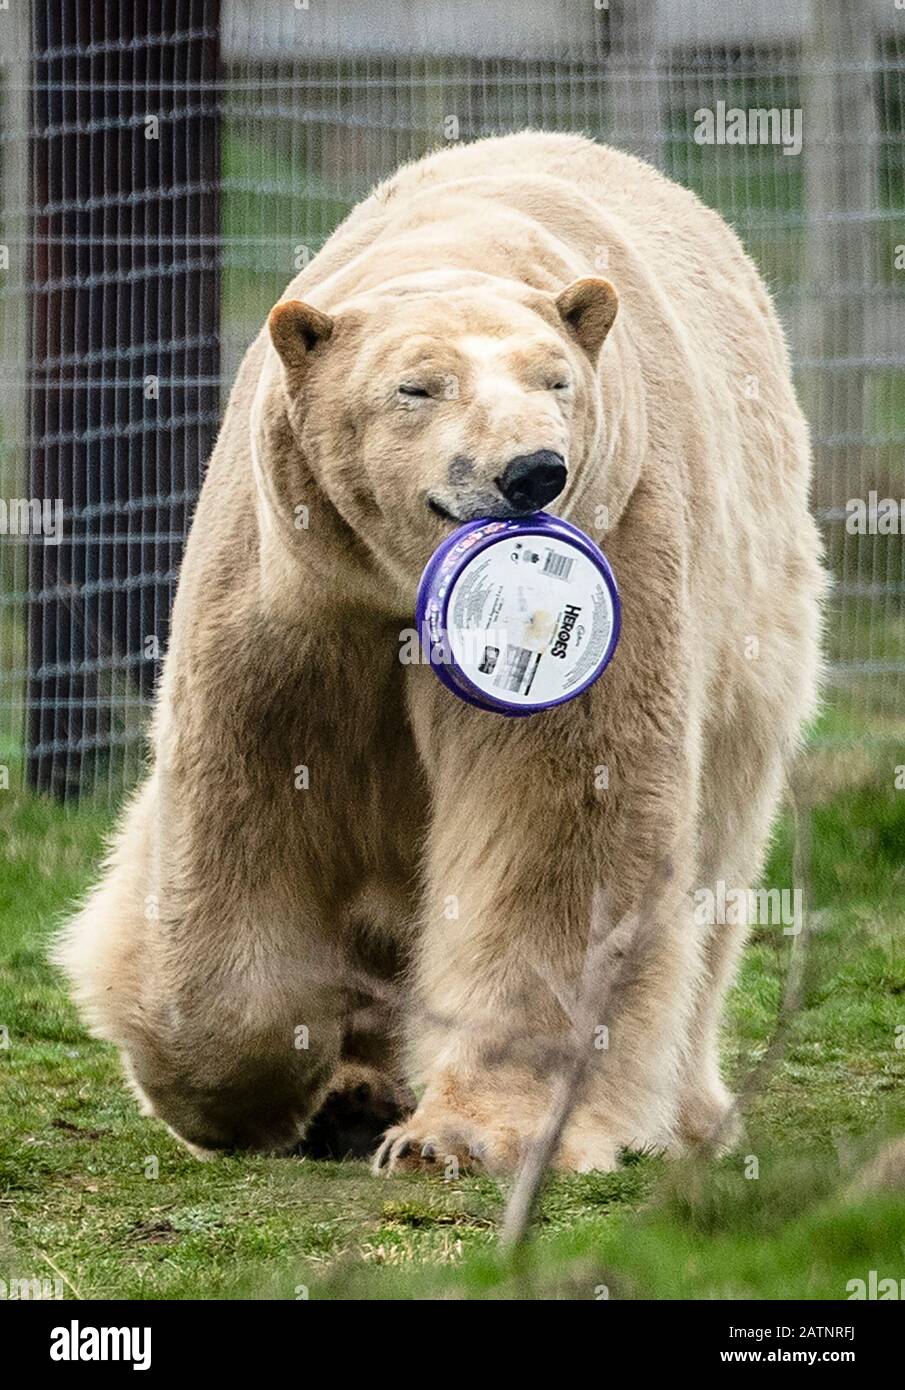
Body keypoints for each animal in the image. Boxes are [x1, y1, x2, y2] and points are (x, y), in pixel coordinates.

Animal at [56, 131, 825, 1173]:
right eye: (416, 388)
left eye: (556, 383)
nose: (532, 472)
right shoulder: (294, 591)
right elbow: (244, 800)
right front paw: (235, 1091)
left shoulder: (620, 542)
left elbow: (560, 819)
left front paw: (467, 1133)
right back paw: (352, 1089)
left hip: (752, 620)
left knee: (715, 855)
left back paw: (687, 1116)